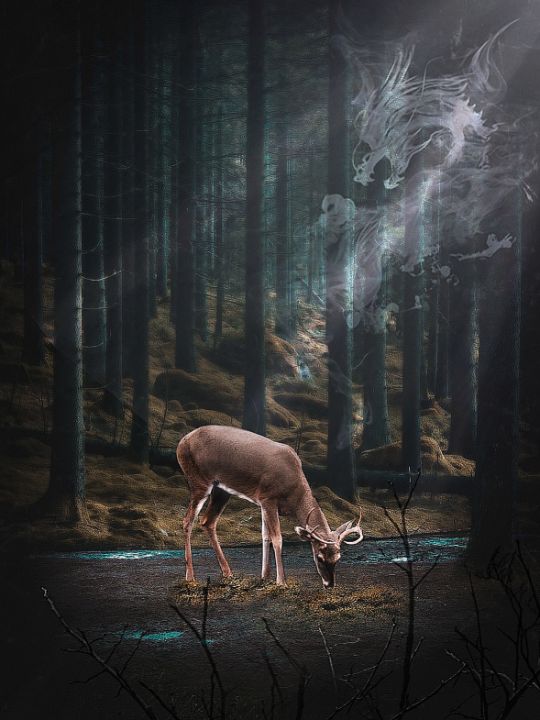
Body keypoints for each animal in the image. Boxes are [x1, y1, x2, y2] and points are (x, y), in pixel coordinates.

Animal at [176, 425, 363, 588]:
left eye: (338, 558)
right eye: (319, 557)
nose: (329, 584)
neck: (294, 493)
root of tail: (182, 442)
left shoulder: (263, 503)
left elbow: (265, 536)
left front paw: (265, 577)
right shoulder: (268, 498)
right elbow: (277, 538)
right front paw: (281, 581)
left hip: (221, 490)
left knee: (207, 521)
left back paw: (228, 573)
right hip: (198, 481)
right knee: (187, 520)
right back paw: (190, 577)